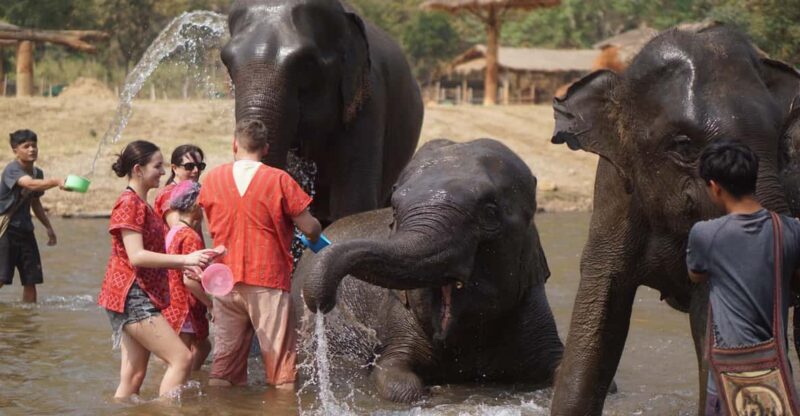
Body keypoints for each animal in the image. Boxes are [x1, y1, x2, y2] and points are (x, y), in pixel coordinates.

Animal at [298, 138, 564, 403]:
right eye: (394, 210)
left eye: (489, 212)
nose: (322, 300)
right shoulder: (397, 311)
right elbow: (393, 376)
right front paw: (434, 394)